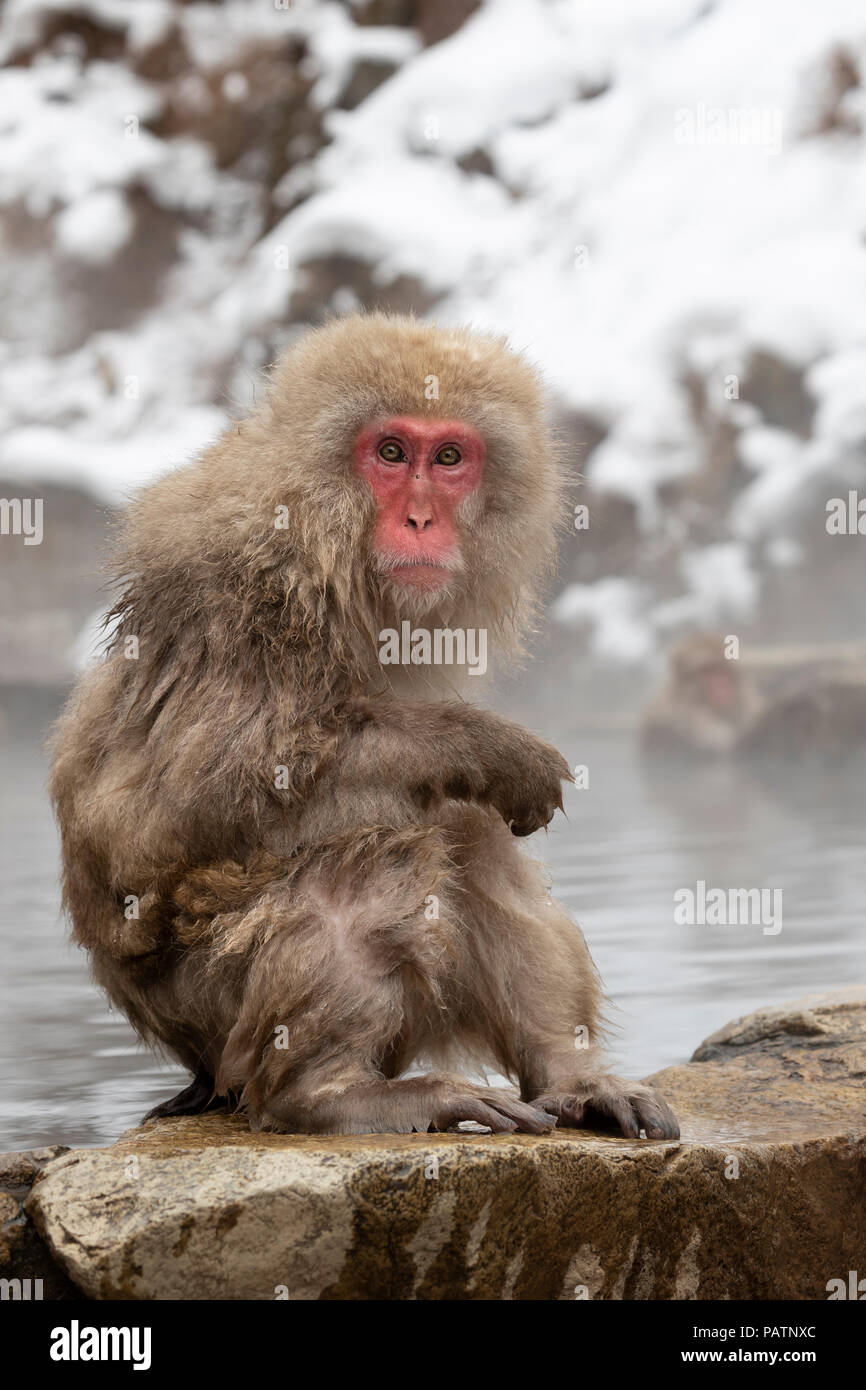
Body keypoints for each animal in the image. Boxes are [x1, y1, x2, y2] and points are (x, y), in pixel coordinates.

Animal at [50, 313, 679, 1141]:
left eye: (449, 458)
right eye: (389, 453)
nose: (420, 517)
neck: (333, 546)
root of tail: (193, 1066)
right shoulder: (241, 598)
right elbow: (177, 812)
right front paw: (484, 743)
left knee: (466, 831)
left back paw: (569, 1076)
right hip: (211, 1013)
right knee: (376, 849)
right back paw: (328, 1094)